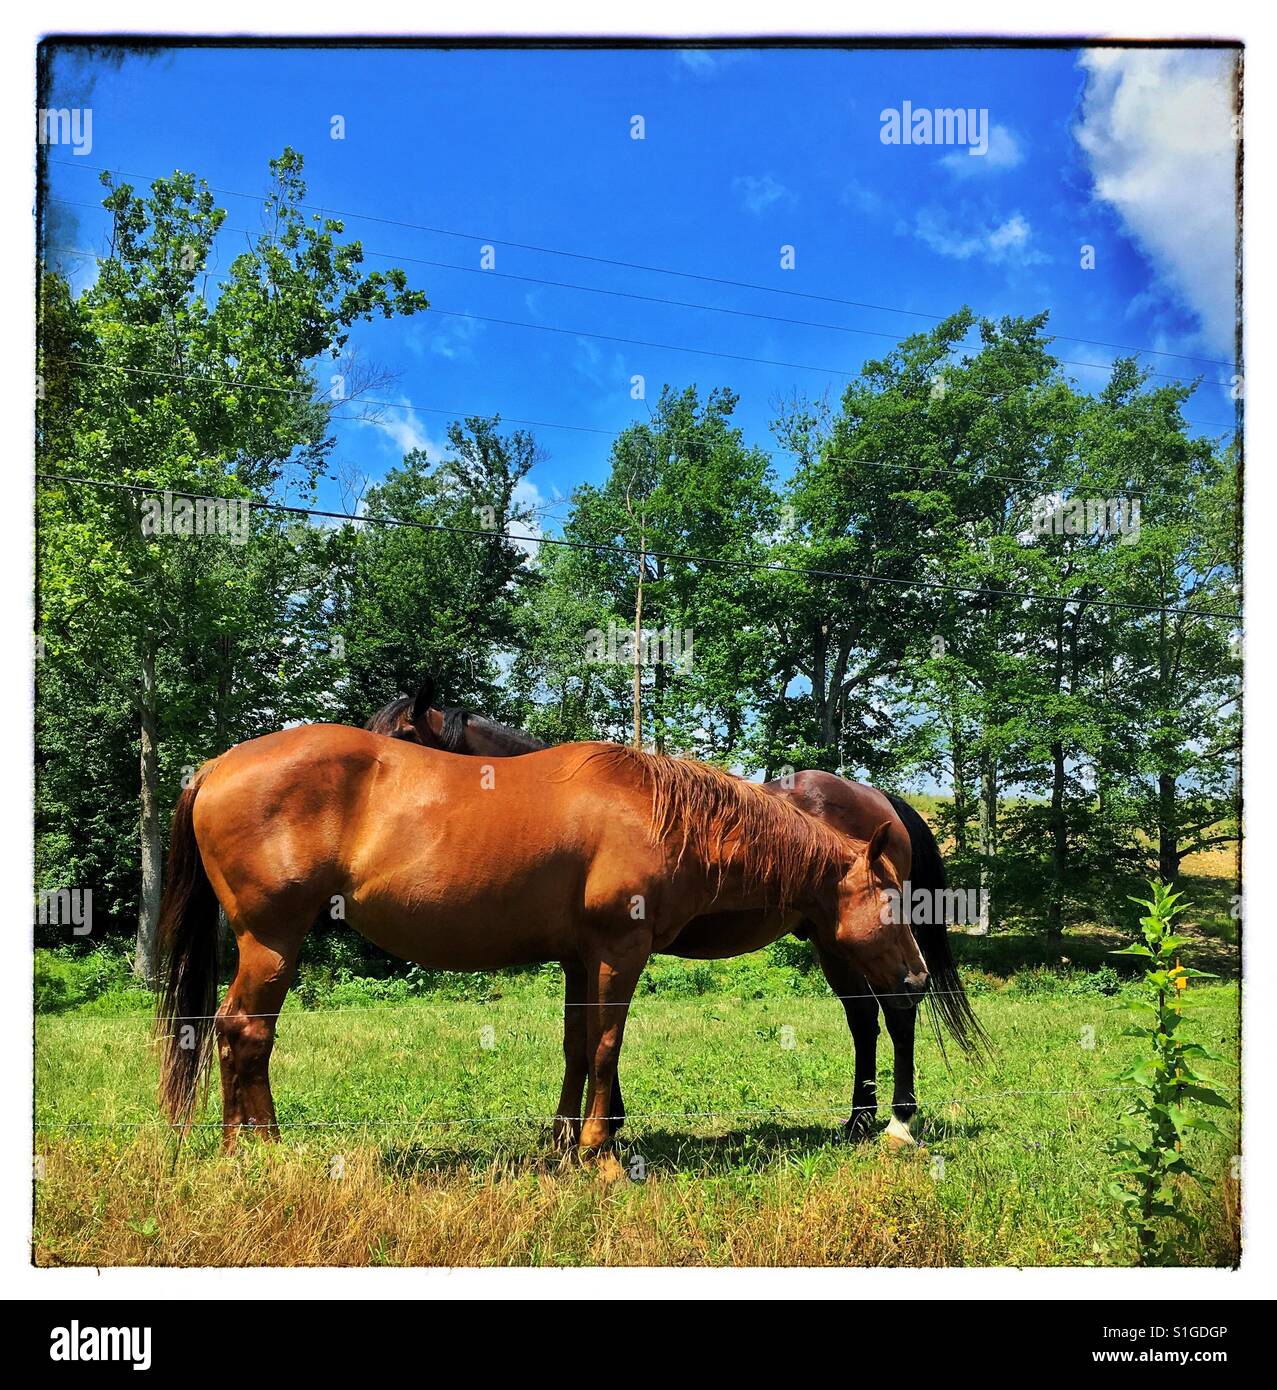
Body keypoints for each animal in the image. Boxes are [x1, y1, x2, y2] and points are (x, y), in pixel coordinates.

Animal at [367, 683, 988, 1145]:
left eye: (402, 740)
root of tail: (882, 800)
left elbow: (599, 1037)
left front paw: (605, 1127)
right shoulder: (585, 953)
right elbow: (589, 1035)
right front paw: (603, 1123)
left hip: (864, 943)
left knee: (897, 1011)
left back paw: (898, 1121)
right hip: (831, 942)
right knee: (864, 1019)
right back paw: (857, 1121)